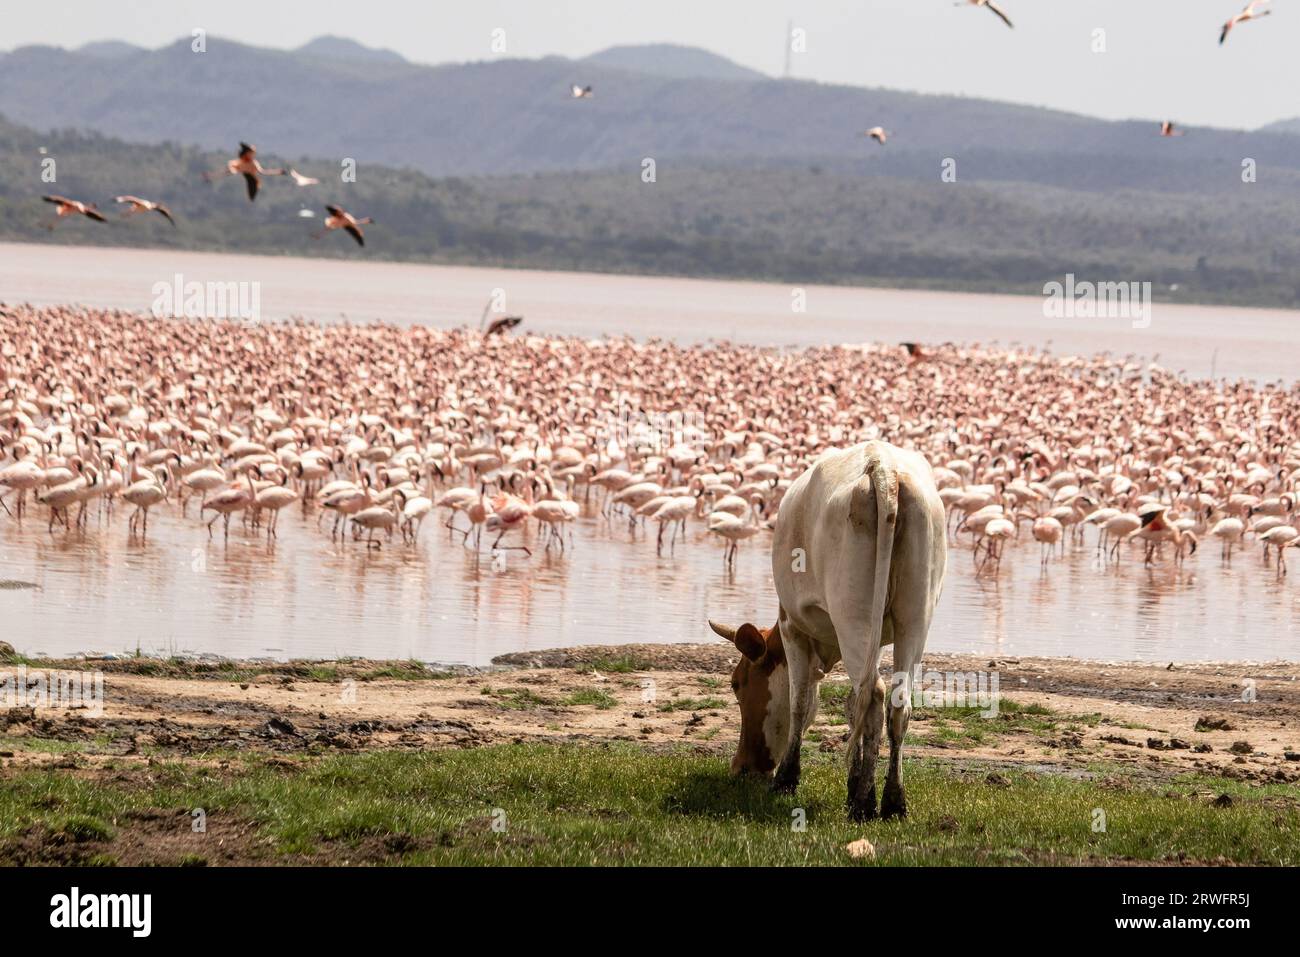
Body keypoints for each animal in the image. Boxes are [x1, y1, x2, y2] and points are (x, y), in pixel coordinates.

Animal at [709, 440, 946, 821]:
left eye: (736, 684)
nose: (741, 768)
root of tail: (883, 468)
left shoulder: (792, 627)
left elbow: (800, 702)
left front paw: (787, 778)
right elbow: (850, 706)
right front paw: (852, 782)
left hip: (852, 613)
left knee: (873, 694)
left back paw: (864, 803)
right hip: (914, 616)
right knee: (896, 703)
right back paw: (893, 801)